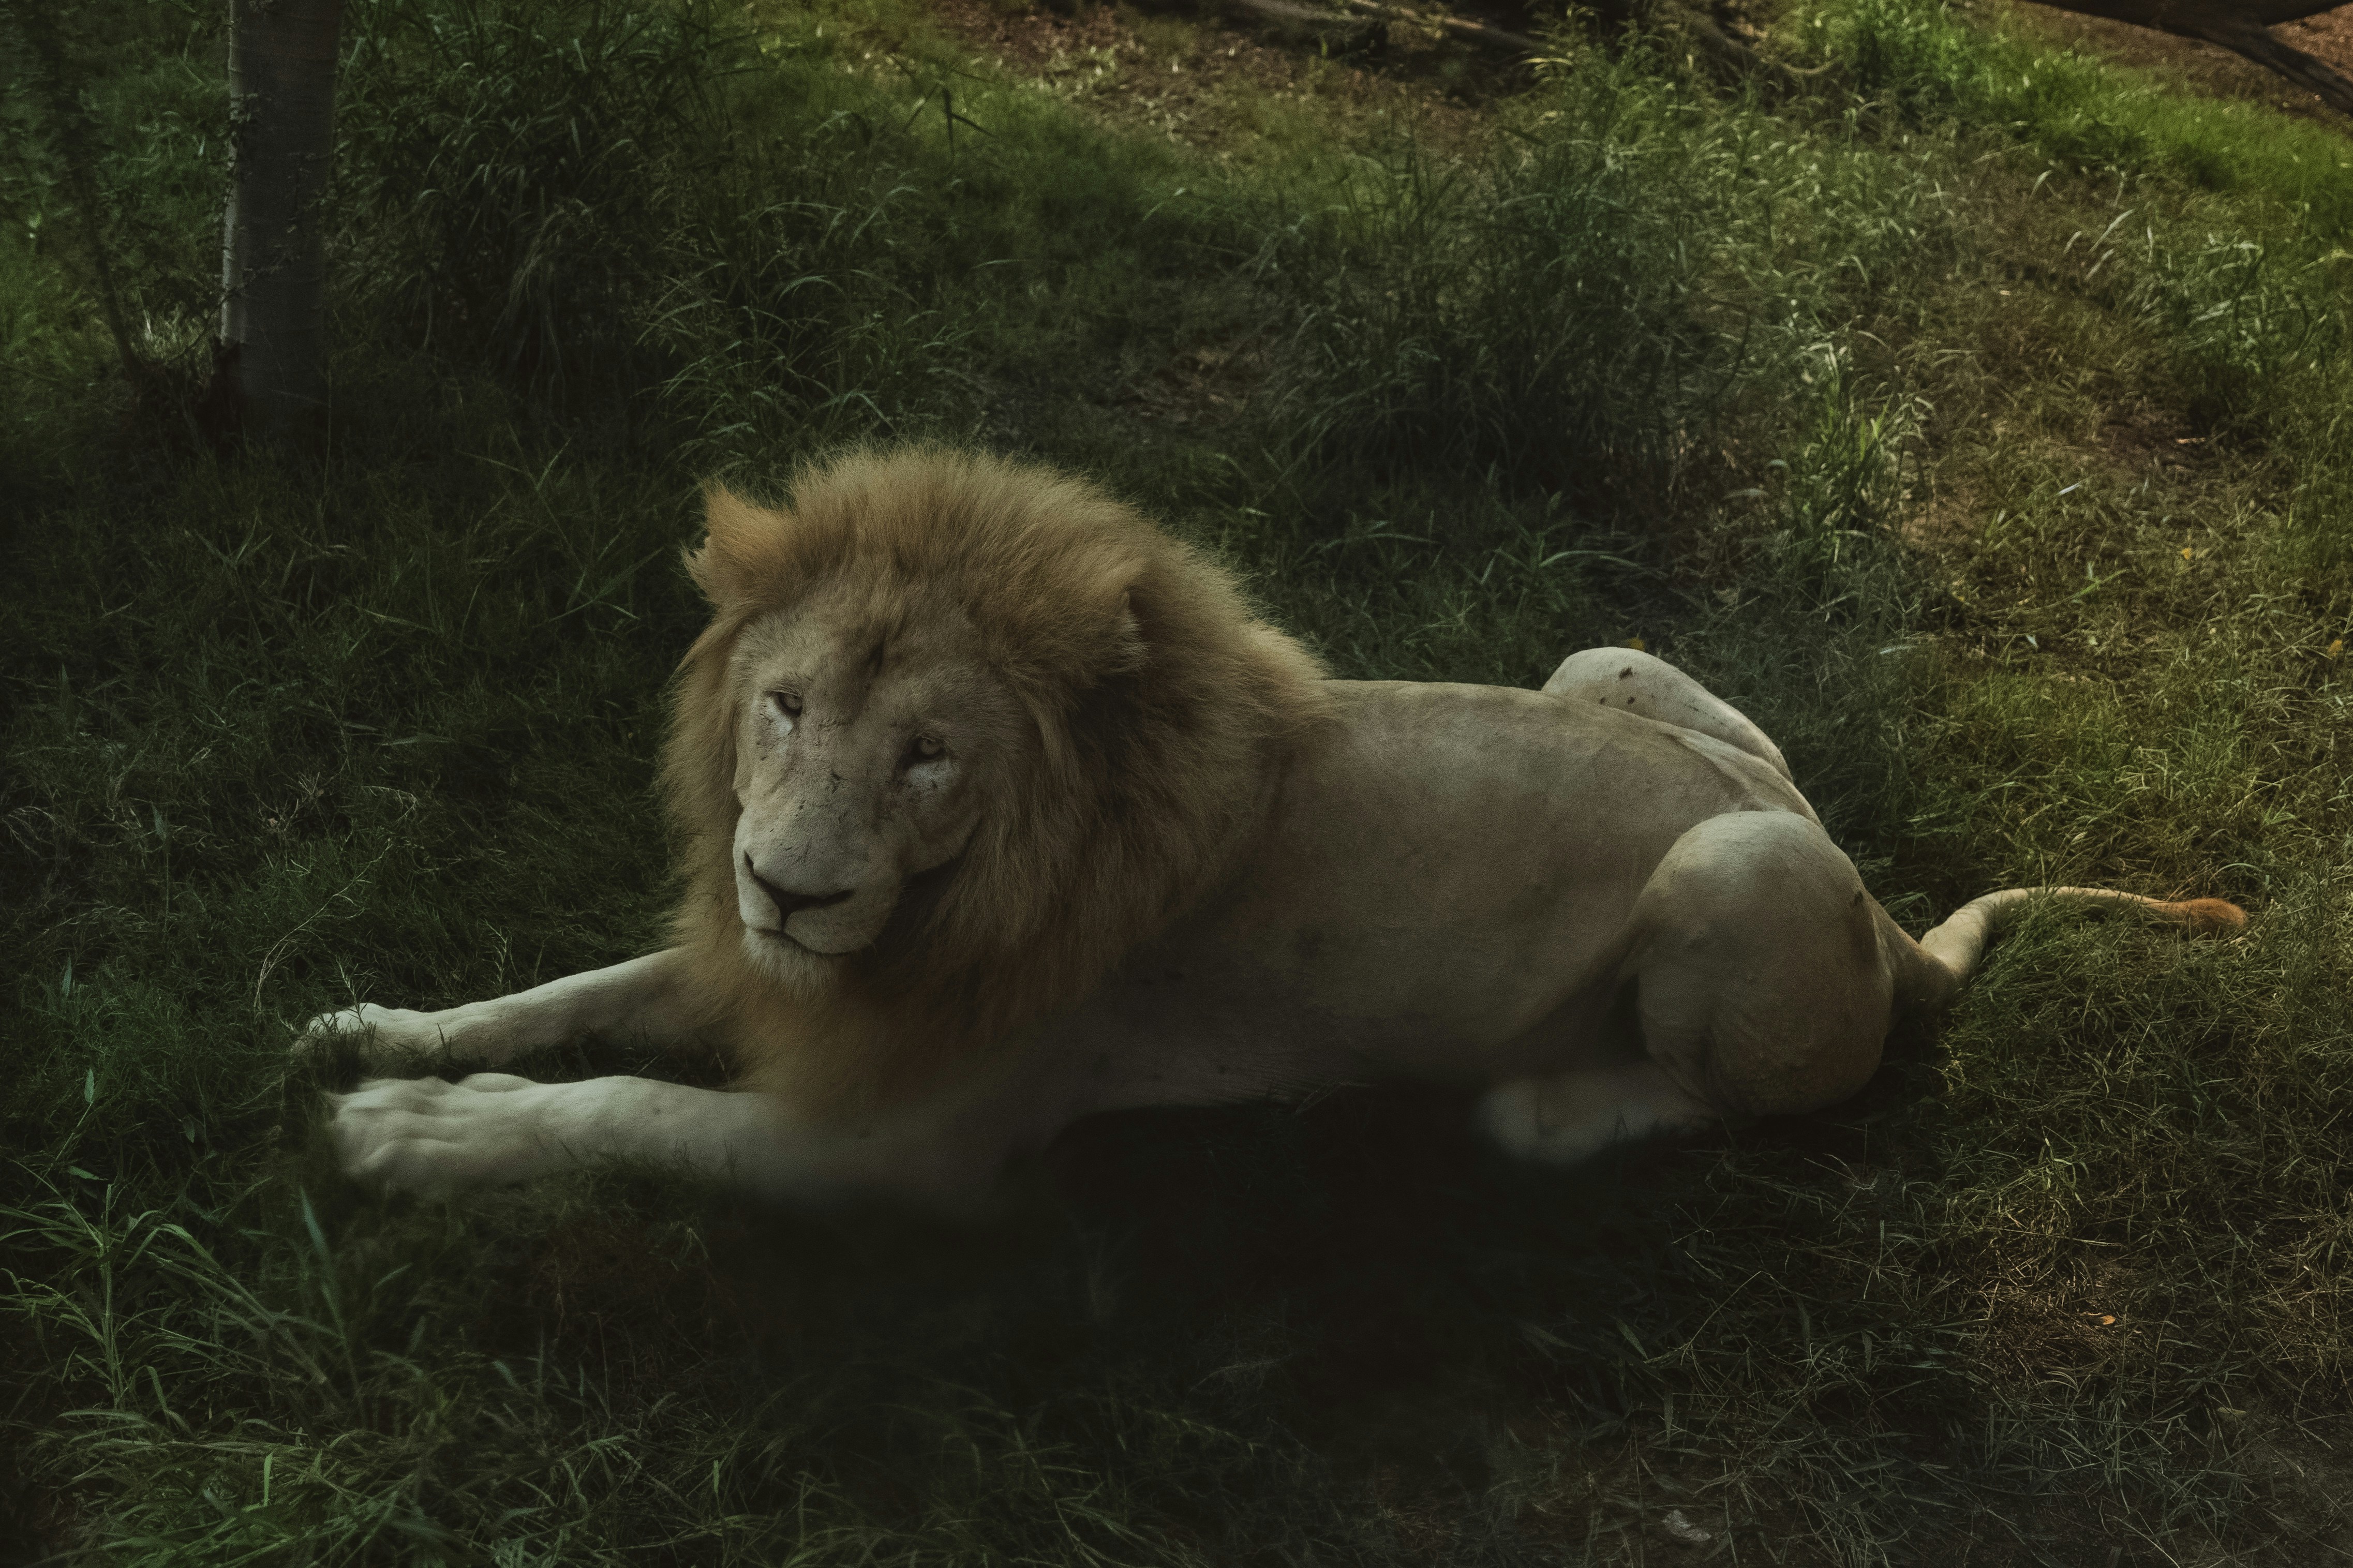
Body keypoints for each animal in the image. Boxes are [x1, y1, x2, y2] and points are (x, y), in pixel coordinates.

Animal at [307, 447, 2245, 1205]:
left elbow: (632, 1106)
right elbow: (580, 993)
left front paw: (424, 1131)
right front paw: (380, 1026)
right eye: (783, 707)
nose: (787, 882)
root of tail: (1879, 919)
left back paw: (1543, 1104)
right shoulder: (785, 969)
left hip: (1729, 870)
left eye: (929, 752)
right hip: (1605, 661)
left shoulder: (907, 1138)